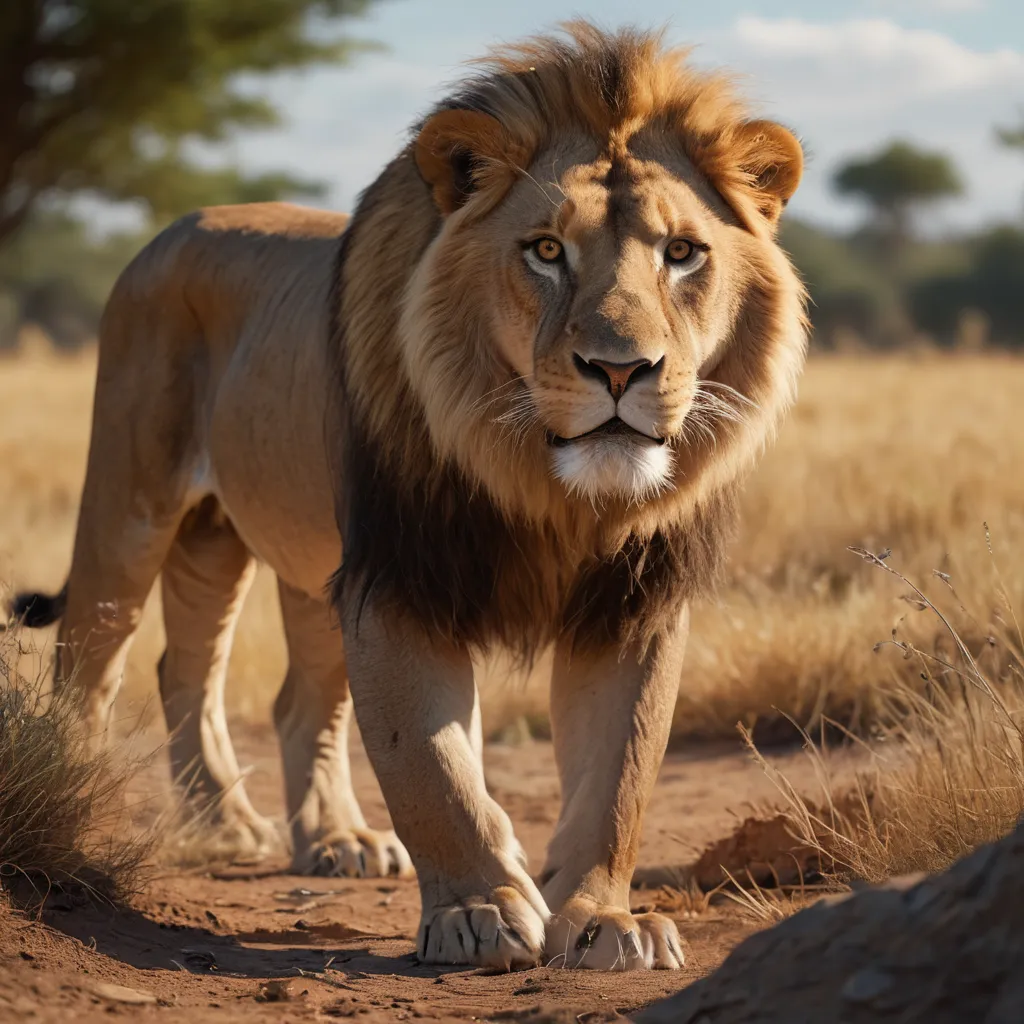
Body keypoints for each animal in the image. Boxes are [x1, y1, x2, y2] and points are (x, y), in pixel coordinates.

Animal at [12, 24, 807, 971]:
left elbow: (619, 777)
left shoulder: (631, 601)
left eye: (682, 253)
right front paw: (480, 910)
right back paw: (91, 815)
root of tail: (172, 228)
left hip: (264, 546)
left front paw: (603, 920)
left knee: (236, 683)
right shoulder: (398, 577)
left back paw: (314, 837)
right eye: (546, 251)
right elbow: (432, 768)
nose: (621, 370)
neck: (552, 490)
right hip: (135, 503)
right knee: (94, 659)